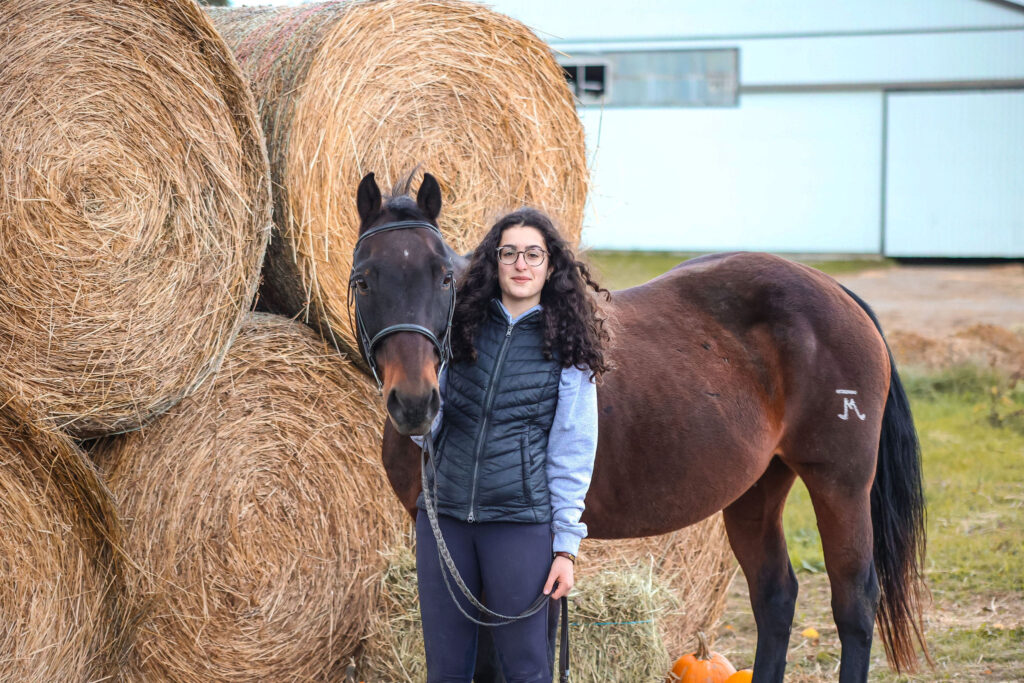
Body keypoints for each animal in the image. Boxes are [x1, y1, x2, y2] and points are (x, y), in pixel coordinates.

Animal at [349, 171, 930, 683]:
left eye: (445, 277)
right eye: (364, 279)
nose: (416, 401)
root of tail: (836, 290)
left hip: (840, 484)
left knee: (854, 602)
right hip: (757, 490)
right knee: (774, 597)